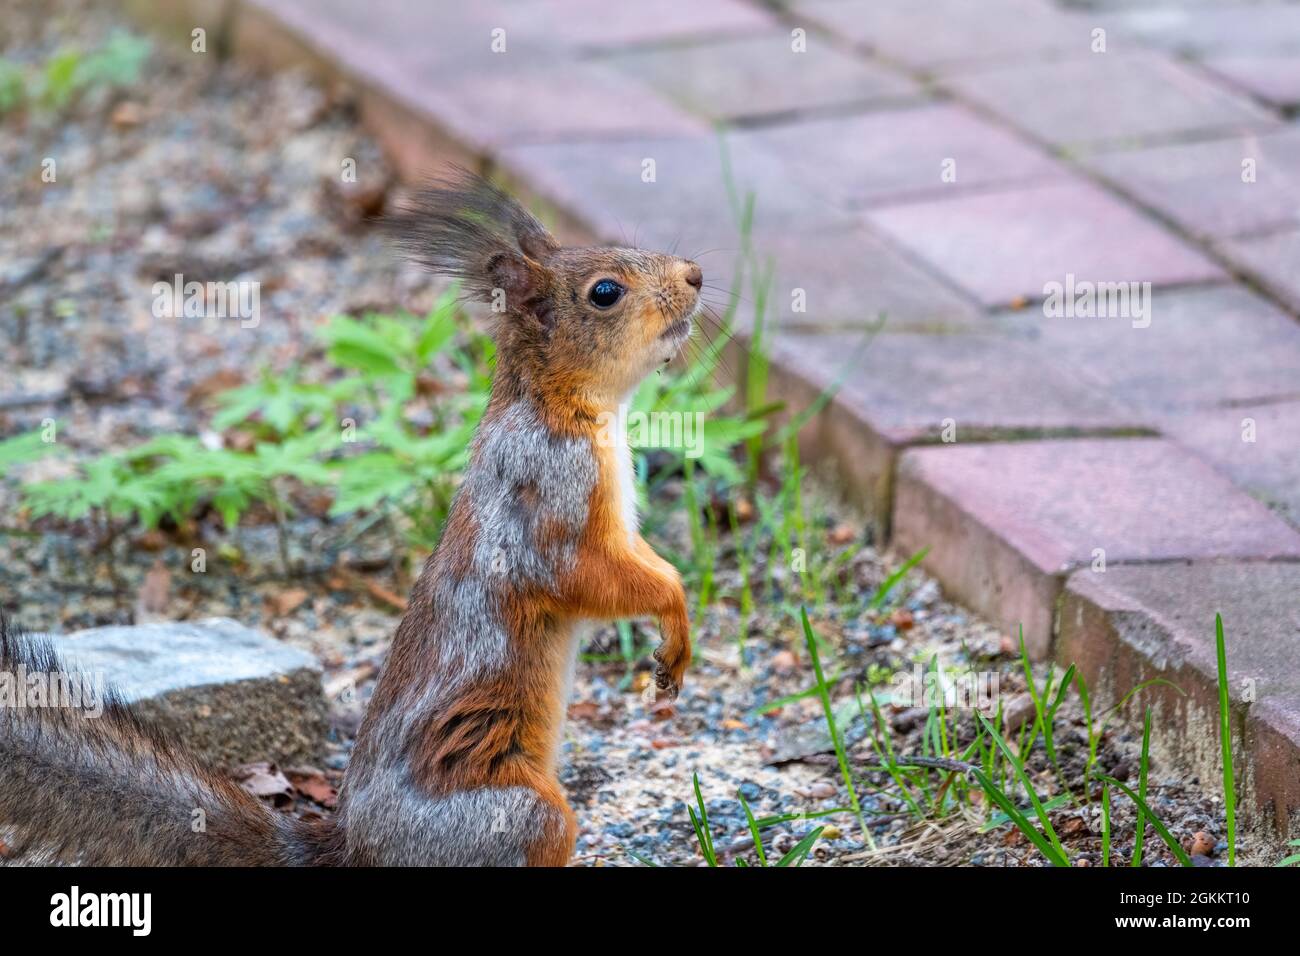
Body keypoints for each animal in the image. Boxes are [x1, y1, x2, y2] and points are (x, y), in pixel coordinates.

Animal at [0, 172, 700, 866]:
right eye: (605, 292)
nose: (694, 274)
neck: (568, 407)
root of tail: (355, 850)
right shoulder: (550, 494)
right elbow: (589, 577)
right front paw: (675, 625)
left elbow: (646, 562)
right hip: (519, 817)